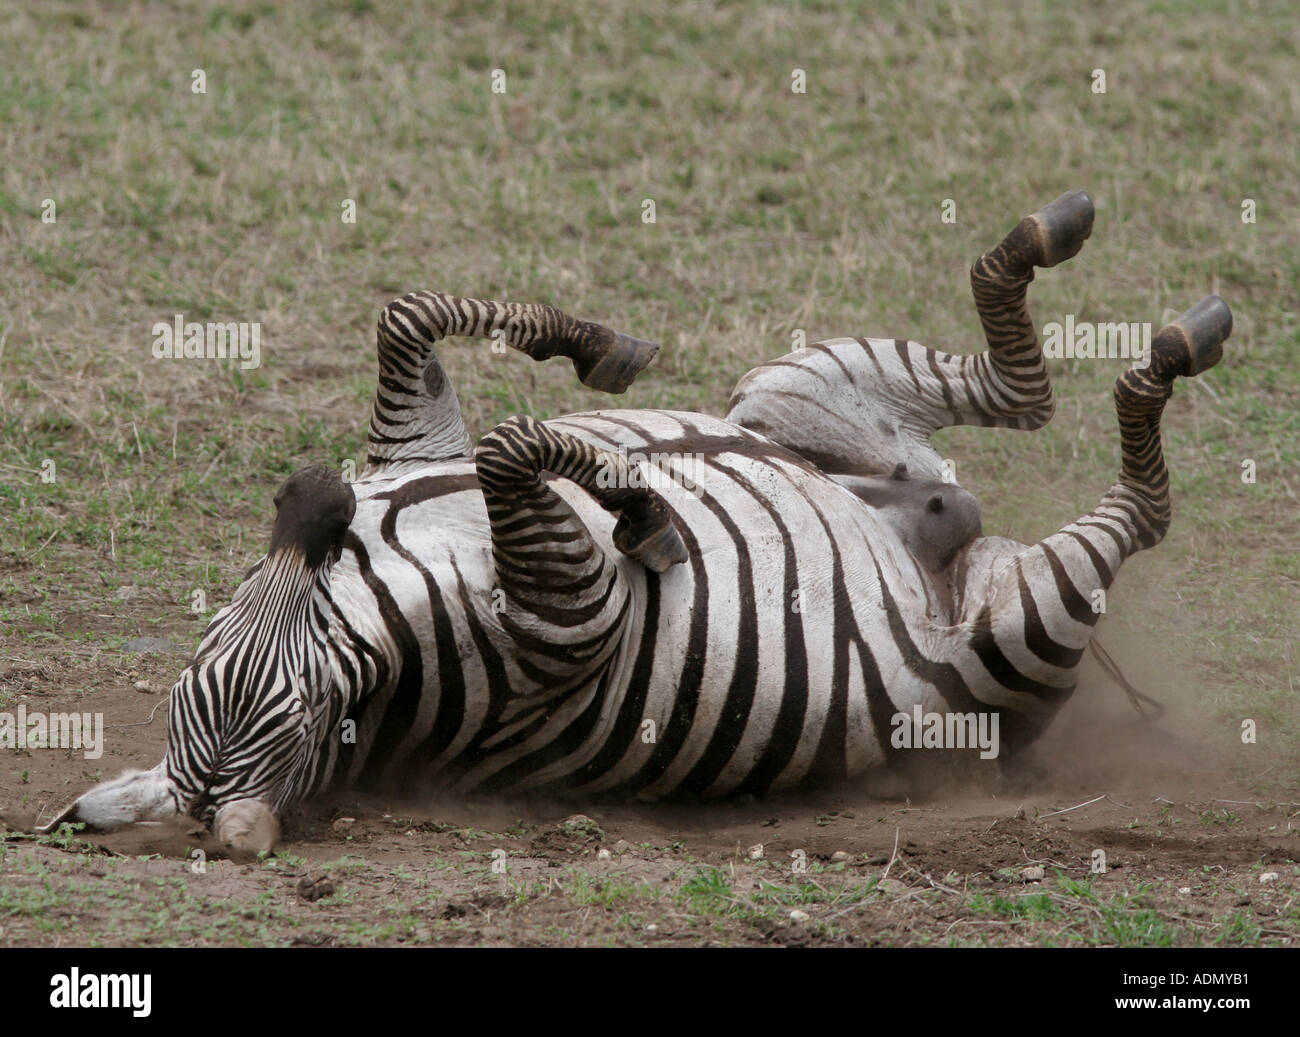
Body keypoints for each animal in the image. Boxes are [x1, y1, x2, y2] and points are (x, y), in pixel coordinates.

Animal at [41, 191, 1233, 852]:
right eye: (270, 697)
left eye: (219, 654)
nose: (312, 502)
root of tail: (943, 518)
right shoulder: (573, 611)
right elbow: (512, 447)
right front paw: (643, 503)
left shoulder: (412, 449)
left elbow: (413, 323)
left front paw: (597, 355)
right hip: (1020, 618)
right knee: (1137, 502)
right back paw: (1161, 355)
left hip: (791, 384)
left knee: (1013, 386)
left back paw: (1063, 250)